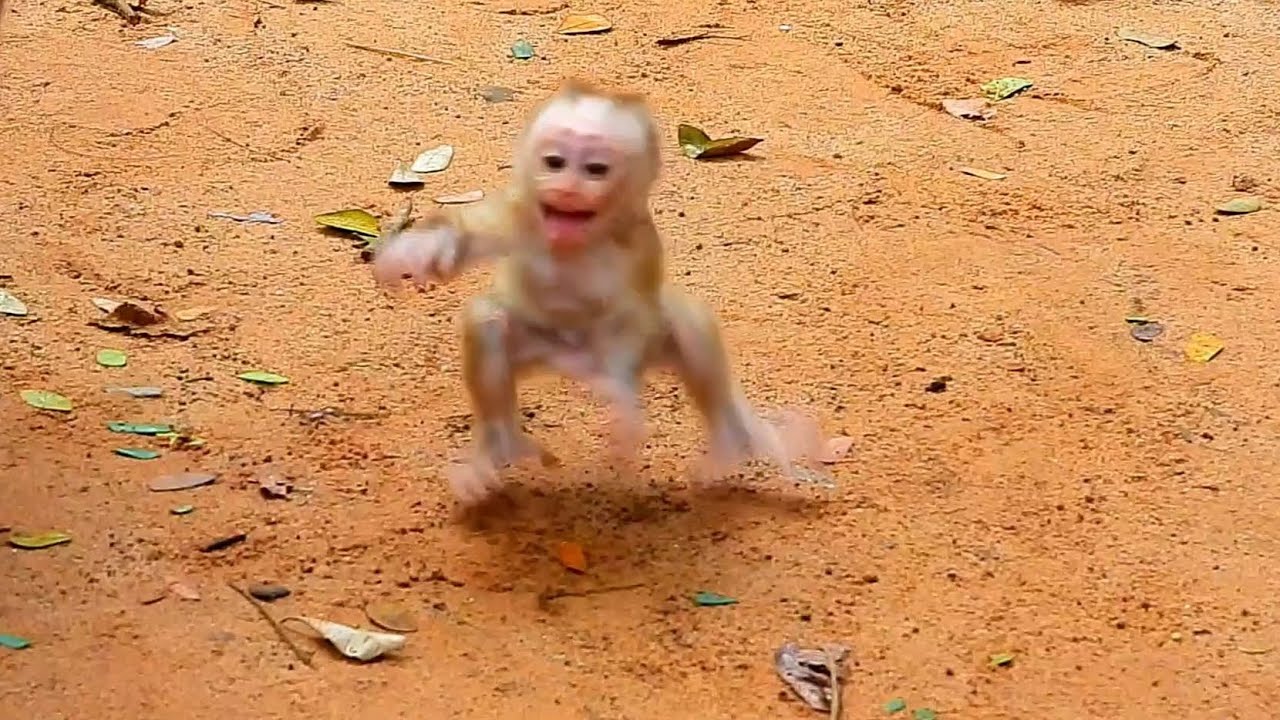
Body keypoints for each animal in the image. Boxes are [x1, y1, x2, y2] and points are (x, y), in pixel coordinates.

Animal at [373, 79, 824, 504]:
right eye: (555, 162)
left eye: (595, 169)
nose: (568, 189)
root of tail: (571, 361)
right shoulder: (521, 213)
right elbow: (466, 241)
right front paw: (416, 250)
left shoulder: (636, 243)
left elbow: (634, 317)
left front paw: (623, 403)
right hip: (538, 346)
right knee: (488, 320)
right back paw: (496, 446)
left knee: (683, 322)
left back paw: (727, 443)